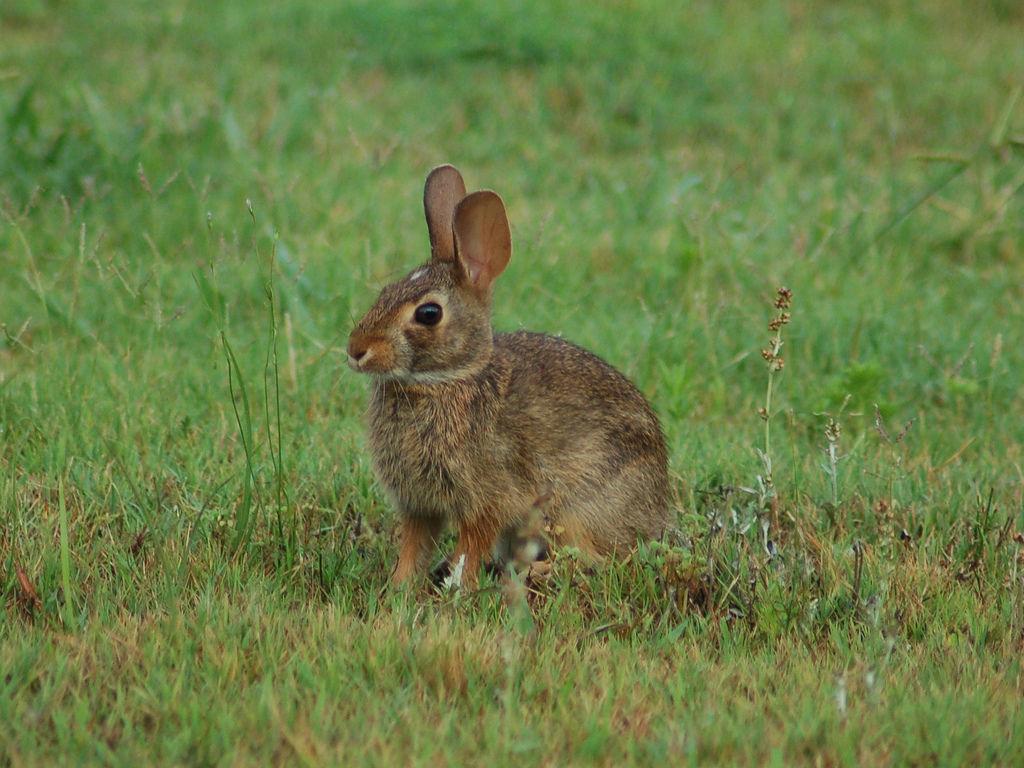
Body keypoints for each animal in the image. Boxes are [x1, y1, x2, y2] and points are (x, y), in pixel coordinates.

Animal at [347, 164, 670, 589]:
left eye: (428, 314)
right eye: (385, 291)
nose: (355, 350)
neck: (444, 381)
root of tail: (659, 515)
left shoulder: (488, 499)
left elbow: (471, 544)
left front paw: (456, 587)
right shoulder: (419, 504)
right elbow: (413, 547)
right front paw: (399, 588)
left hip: (577, 508)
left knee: (598, 559)